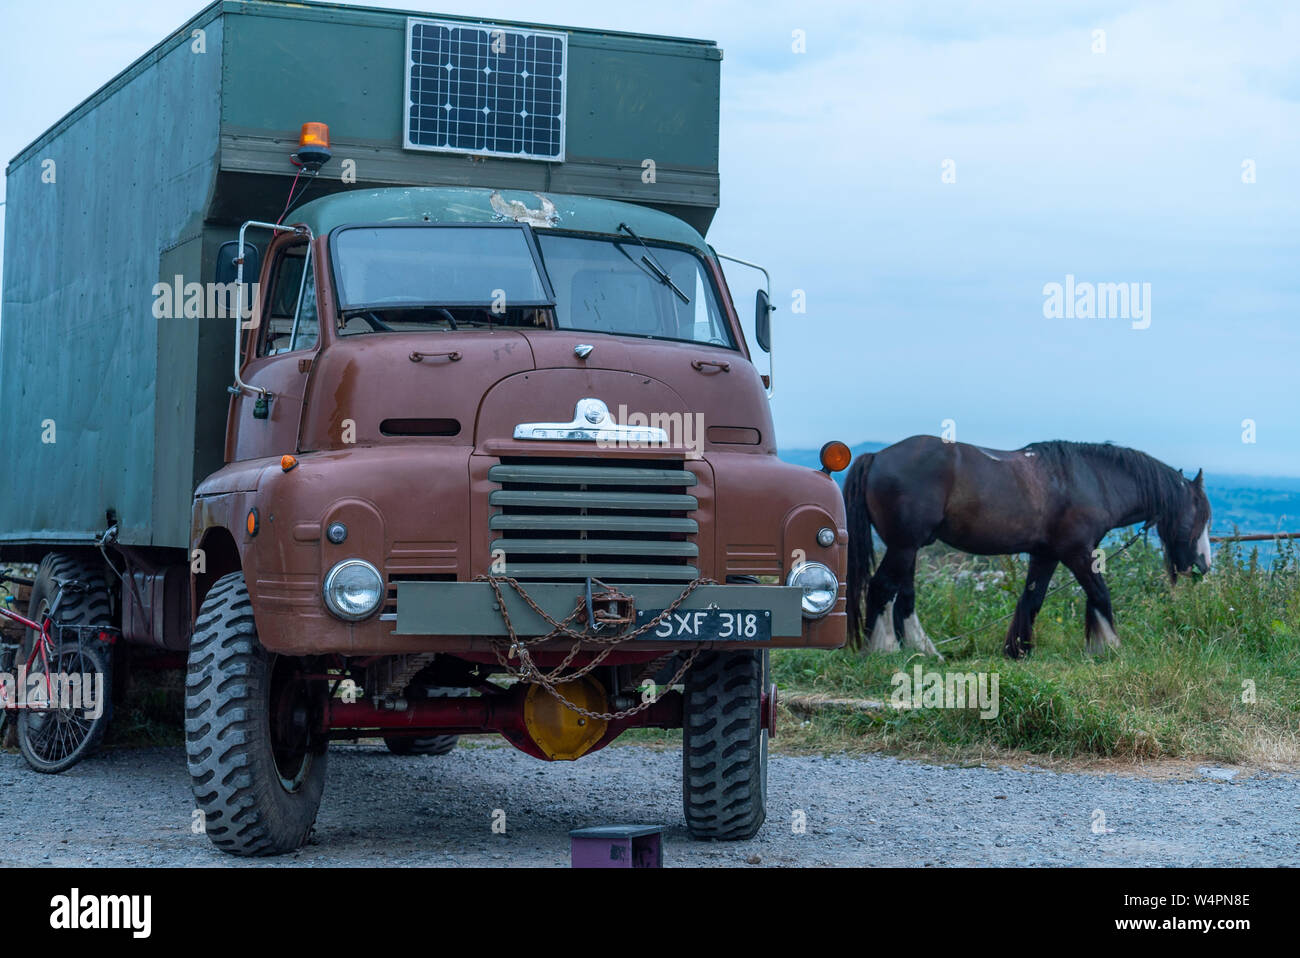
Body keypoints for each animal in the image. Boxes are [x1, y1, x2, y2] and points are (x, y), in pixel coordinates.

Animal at [844, 436, 1212, 659]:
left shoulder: (1046, 554)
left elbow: (1032, 599)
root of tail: (875, 457)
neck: (1093, 480)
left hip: (909, 548)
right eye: (1202, 516)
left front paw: (1018, 649)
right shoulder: (1078, 553)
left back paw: (924, 650)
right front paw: (1108, 646)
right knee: (881, 589)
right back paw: (882, 650)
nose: (1203, 566)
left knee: (902, 596)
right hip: (904, 546)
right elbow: (1100, 595)